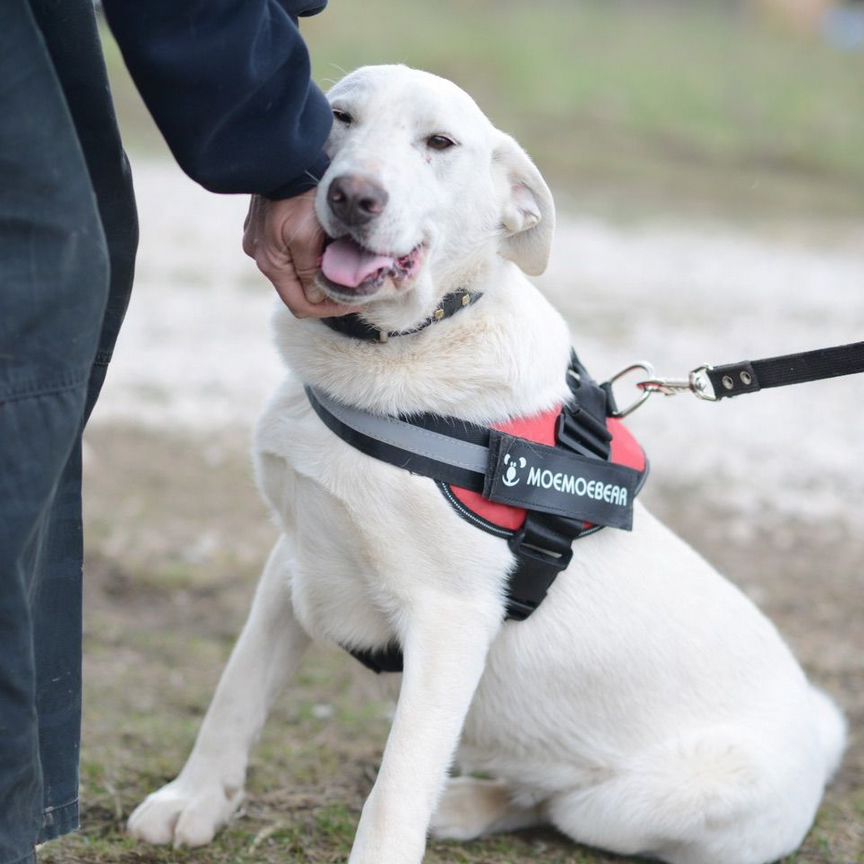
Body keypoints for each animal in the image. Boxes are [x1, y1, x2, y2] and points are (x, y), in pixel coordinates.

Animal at [128, 66, 844, 864]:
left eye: (439, 143)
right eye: (339, 118)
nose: (353, 196)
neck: (398, 347)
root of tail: (819, 737)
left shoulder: (450, 622)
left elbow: (397, 787)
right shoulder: (295, 559)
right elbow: (237, 691)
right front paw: (196, 798)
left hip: (647, 804)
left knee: (557, 806)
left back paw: (464, 803)